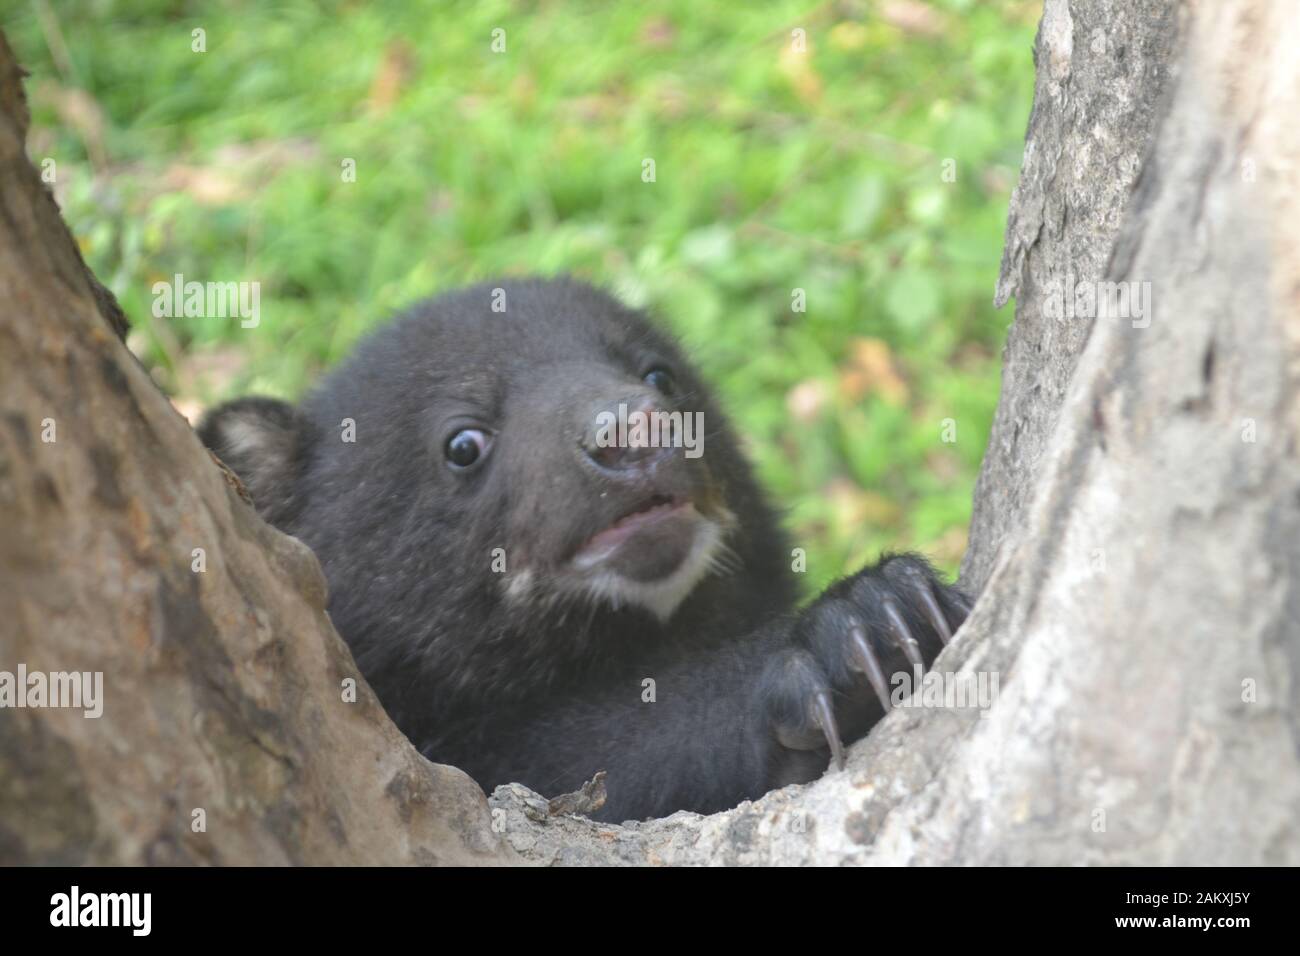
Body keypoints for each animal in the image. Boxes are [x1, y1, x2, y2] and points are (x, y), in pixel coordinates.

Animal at [199, 277, 971, 821]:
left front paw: (890, 608)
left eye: (659, 375)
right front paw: (855, 634)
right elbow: (561, 768)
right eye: (463, 441)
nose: (633, 431)